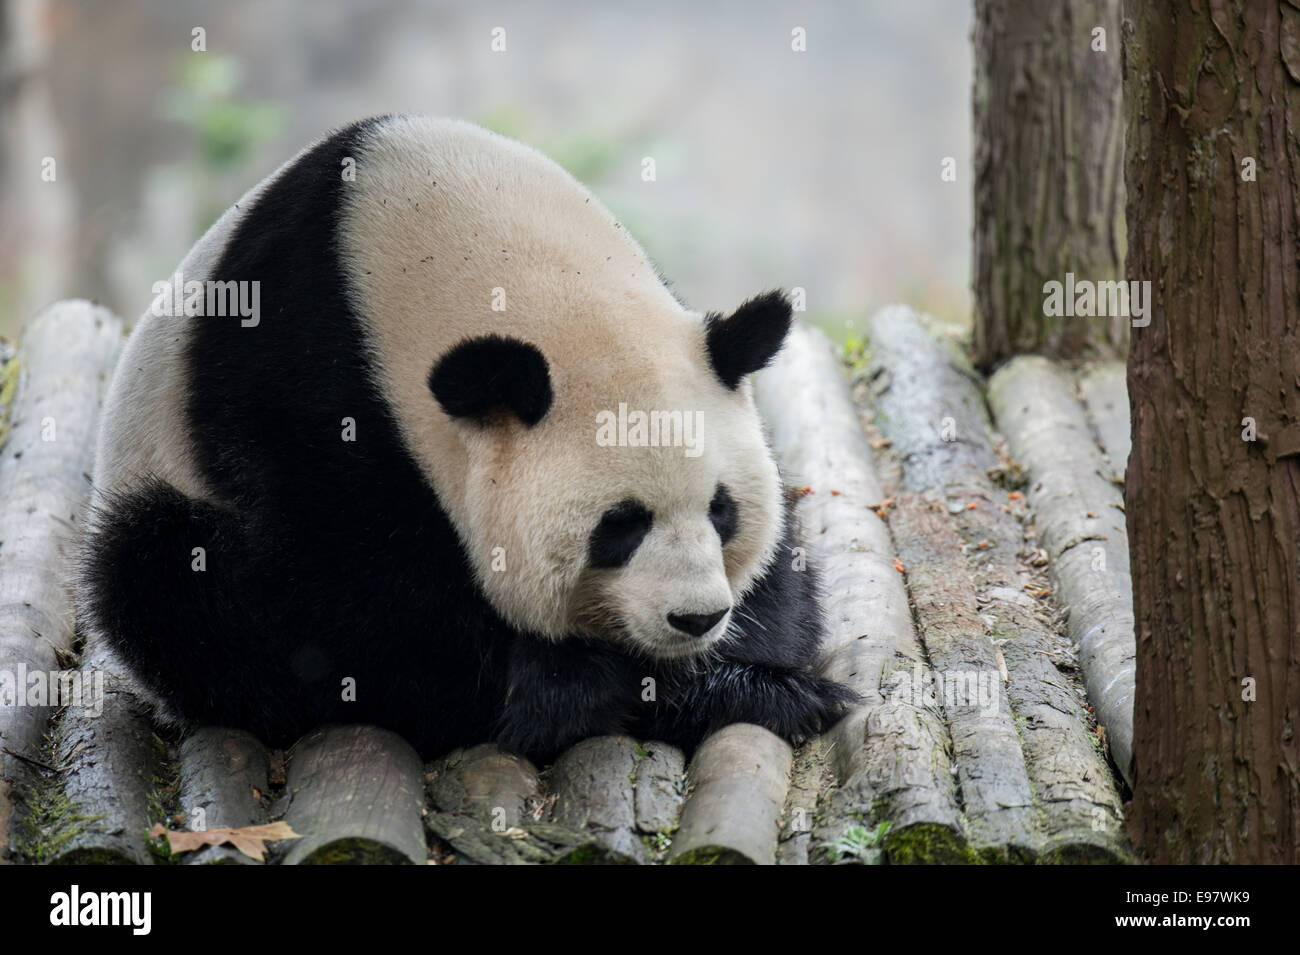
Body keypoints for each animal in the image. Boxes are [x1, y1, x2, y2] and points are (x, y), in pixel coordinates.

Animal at [78, 115, 853, 763]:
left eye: (722, 510)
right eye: (620, 524)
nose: (697, 617)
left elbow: (784, 581)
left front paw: (756, 685)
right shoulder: (305, 388)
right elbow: (343, 605)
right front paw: (587, 686)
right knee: (158, 569)